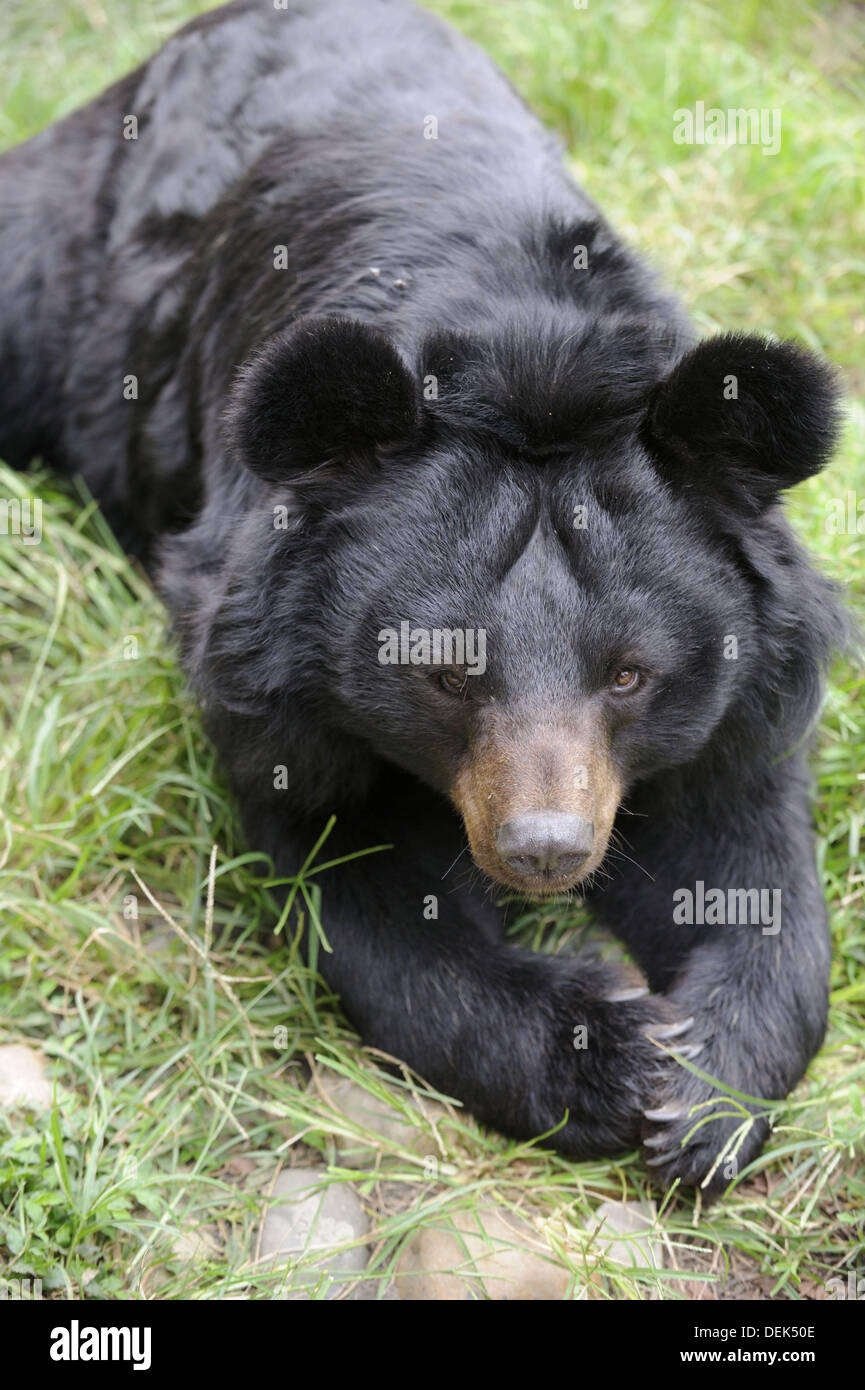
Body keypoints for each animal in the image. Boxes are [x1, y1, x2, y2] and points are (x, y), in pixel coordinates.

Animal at [0, 0, 844, 1198]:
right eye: (445, 676)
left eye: (629, 675)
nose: (545, 849)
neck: (528, 347)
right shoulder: (272, 682)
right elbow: (363, 893)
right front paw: (610, 1052)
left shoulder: (748, 675)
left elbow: (749, 856)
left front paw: (701, 1092)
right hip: (57, 261)